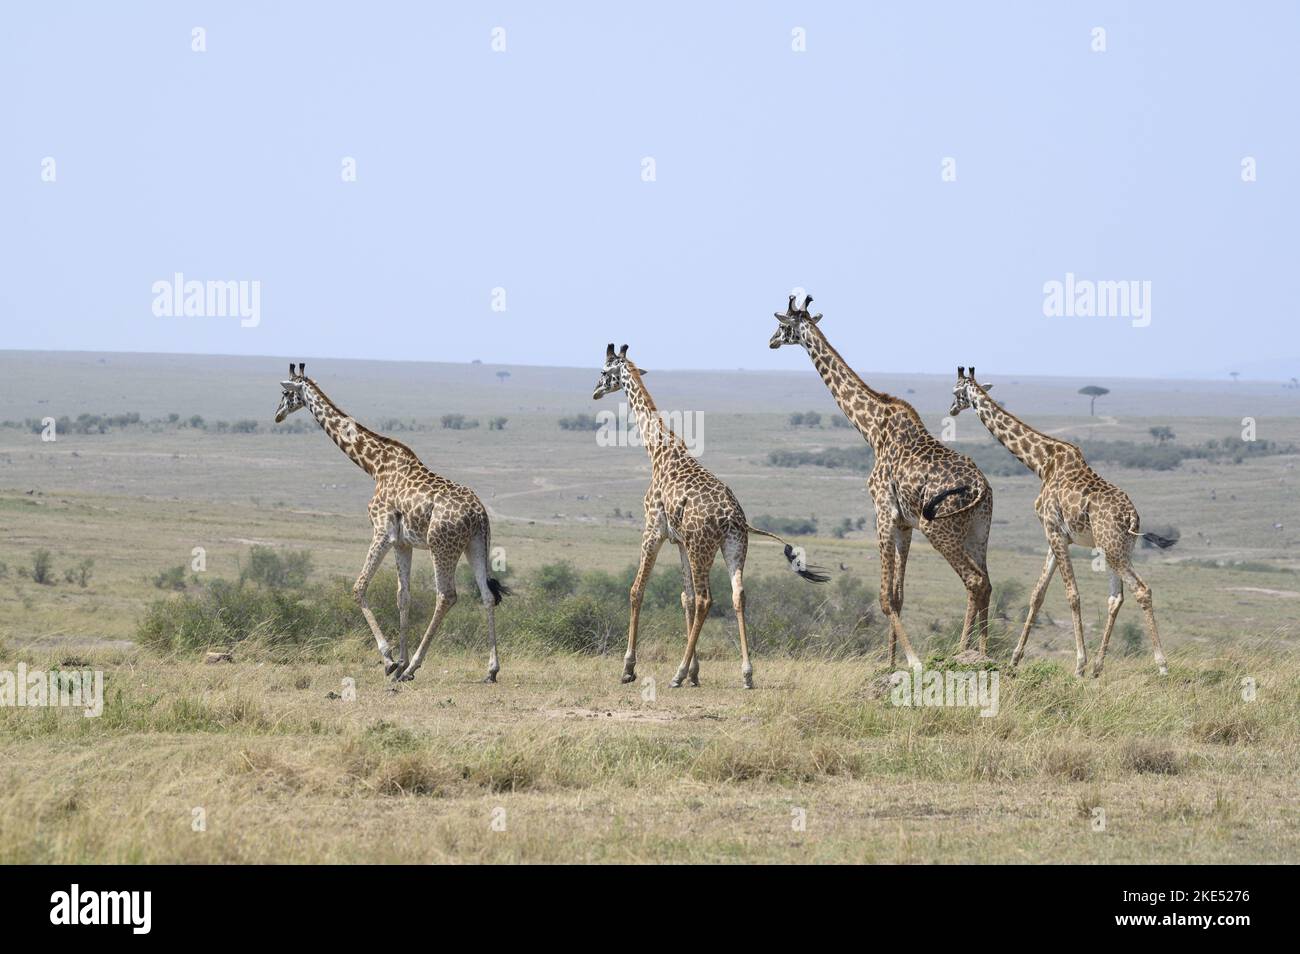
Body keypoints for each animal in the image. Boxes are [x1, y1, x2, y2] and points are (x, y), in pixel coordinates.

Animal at [273, 363, 509, 683]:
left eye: (286, 393)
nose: (277, 414)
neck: (374, 465)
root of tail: (479, 513)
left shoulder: (382, 531)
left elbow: (359, 587)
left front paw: (390, 660)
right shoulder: (402, 542)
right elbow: (403, 596)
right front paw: (399, 660)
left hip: (442, 545)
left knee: (446, 595)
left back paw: (414, 667)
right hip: (476, 545)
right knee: (485, 594)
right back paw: (491, 669)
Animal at [592, 343, 829, 689]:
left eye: (604, 370)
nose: (595, 391)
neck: (659, 452)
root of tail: (733, 517)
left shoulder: (654, 529)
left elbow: (638, 590)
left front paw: (629, 668)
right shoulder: (679, 541)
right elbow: (685, 598)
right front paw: (695, 672)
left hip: (702, 547)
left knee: (707, 599)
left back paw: (676, 674)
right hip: (733, 546)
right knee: (737, 594)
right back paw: (746, 673)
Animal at [769, 295, 993, 668]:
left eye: (782, 324)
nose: (770, 341)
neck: (873, 429)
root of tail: (980, 488)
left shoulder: (883, 511)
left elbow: (885, 598)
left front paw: (913, 660)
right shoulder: (905, 523)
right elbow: (898, 596)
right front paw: (890, 663)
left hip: (940, 527)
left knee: (974, 581)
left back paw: (961, 654)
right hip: (978, 531)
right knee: (987, 583)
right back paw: (986, 656)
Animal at [949, 366, 1175, 677]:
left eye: (955, 391)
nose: (951, 409)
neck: (1041, 462)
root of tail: (1132, 517)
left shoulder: (1053, 530)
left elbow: (1072, 595)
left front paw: (1079, 664)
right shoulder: (1056, 535)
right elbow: (1037, 594)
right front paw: (1015, 659)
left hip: (1113, 549)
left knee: (1142, 590)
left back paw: (1160, 665)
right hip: (1119, 549)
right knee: (1116, 598)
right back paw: (1099, 667)